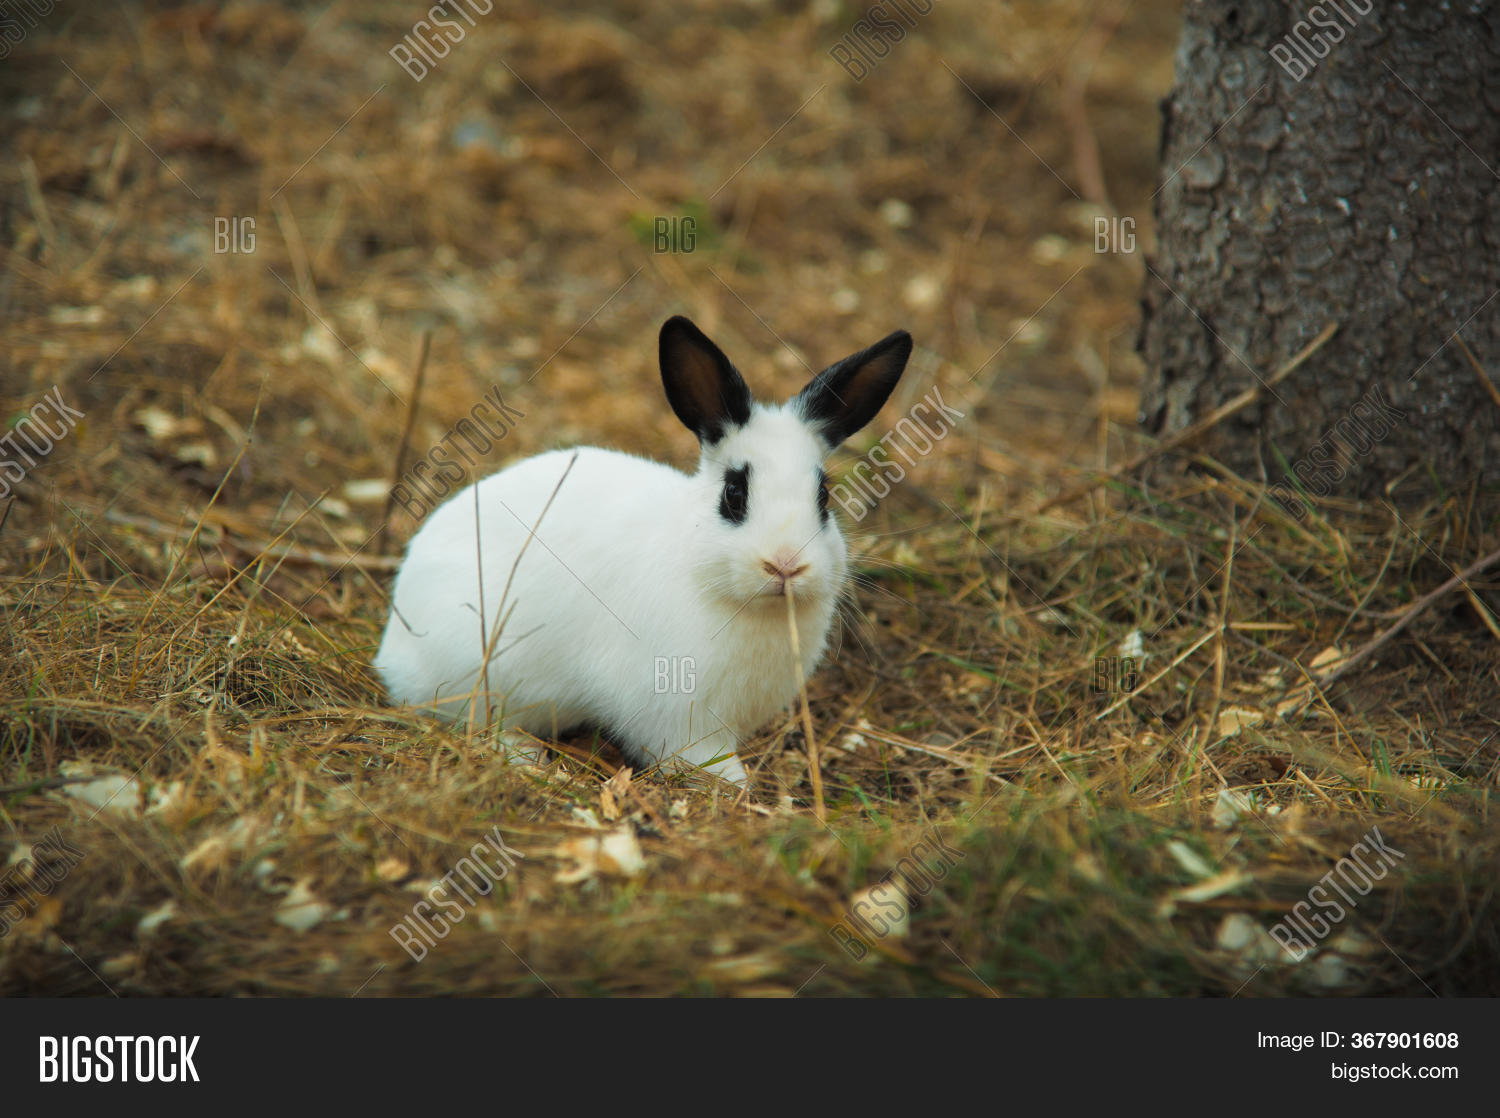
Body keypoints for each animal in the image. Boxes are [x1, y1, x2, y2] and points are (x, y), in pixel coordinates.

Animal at [375, 315, 913, 787]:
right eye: (733, 494)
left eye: (824, 497)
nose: (786, 565)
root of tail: (394, 646)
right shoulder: (675, 713)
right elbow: (692, 753)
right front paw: (732, 783)